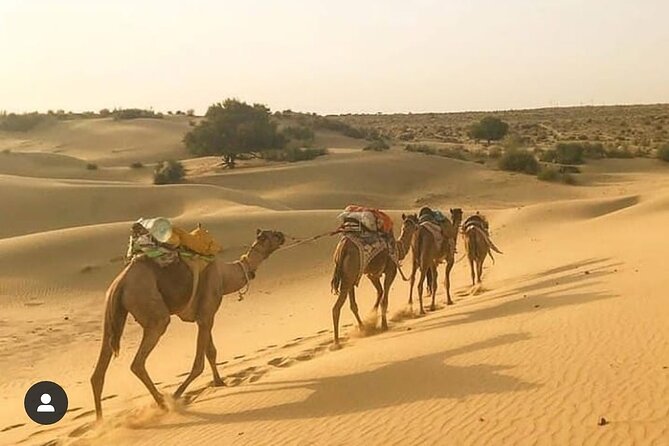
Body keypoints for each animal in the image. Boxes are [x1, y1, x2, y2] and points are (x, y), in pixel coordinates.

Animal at [90, 229, 285, 420]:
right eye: (274, 235)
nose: (283, 235)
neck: (225, 277)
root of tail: (121, 283)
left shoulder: (204, 316)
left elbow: (211, 352)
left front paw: (219, 382)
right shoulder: (207, 314)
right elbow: (199, 364)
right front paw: (177, 395)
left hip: (112, 313)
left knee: (98, 372)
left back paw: (100, 421)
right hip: (153, 311)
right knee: (138, 362)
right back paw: (162, 403)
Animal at [330, 214, 419, 346]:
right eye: (416, 220)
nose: (419, 226)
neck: (398, 248)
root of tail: (343, 248)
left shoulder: (372, 274)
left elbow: (380, 292)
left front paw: (373, 316)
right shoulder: (391, 270)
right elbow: (384, 299)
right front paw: (384, 325)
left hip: (350, 275)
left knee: (353, 305)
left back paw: (363, 328)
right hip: (350, 273)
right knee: (336, 308)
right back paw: (336, 342)